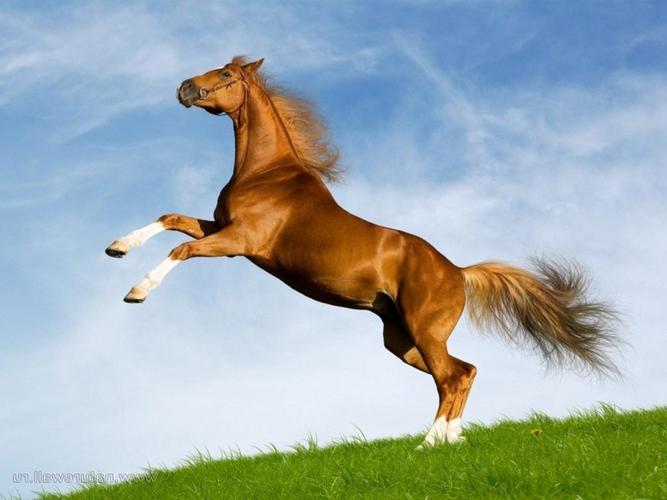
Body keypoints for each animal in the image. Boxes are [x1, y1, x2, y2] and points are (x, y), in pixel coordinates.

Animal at [105, 56, 619, 448]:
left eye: (227, 75)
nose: (184, 88)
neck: (267, 173)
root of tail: (458, 271)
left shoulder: (240, 242)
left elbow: (182, 250)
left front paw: (136, 292)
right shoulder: (222, 228)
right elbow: (171, 218)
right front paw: (117, 247)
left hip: (425, 332)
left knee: (453, 377)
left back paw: (428, 444)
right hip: (402, 340)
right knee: (465, 371)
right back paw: (452, 440)